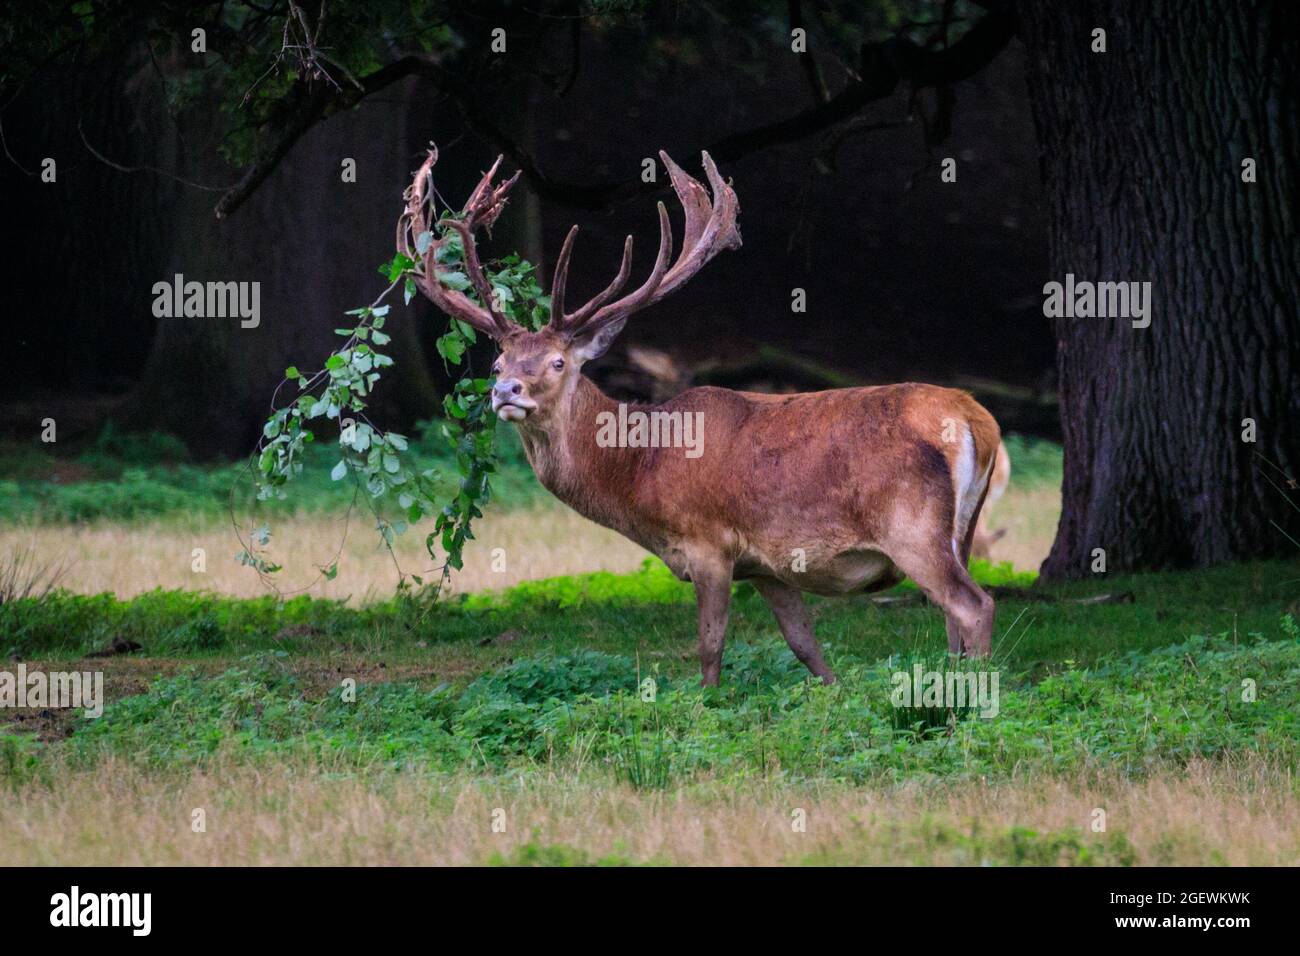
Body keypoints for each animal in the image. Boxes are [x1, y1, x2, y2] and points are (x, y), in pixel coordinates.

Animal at [398, 145, 1001, 685]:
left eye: (557, 361)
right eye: (498, 360)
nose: (505, 390)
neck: (641, 470)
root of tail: (979, 422)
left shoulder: (708, 543)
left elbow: (710, 650)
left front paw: (707, 707)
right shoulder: (769, 565)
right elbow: (806, 647)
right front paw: (831, 694)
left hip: (911, 524)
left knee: (973, 605)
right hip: (962, 530)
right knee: (954, 618)